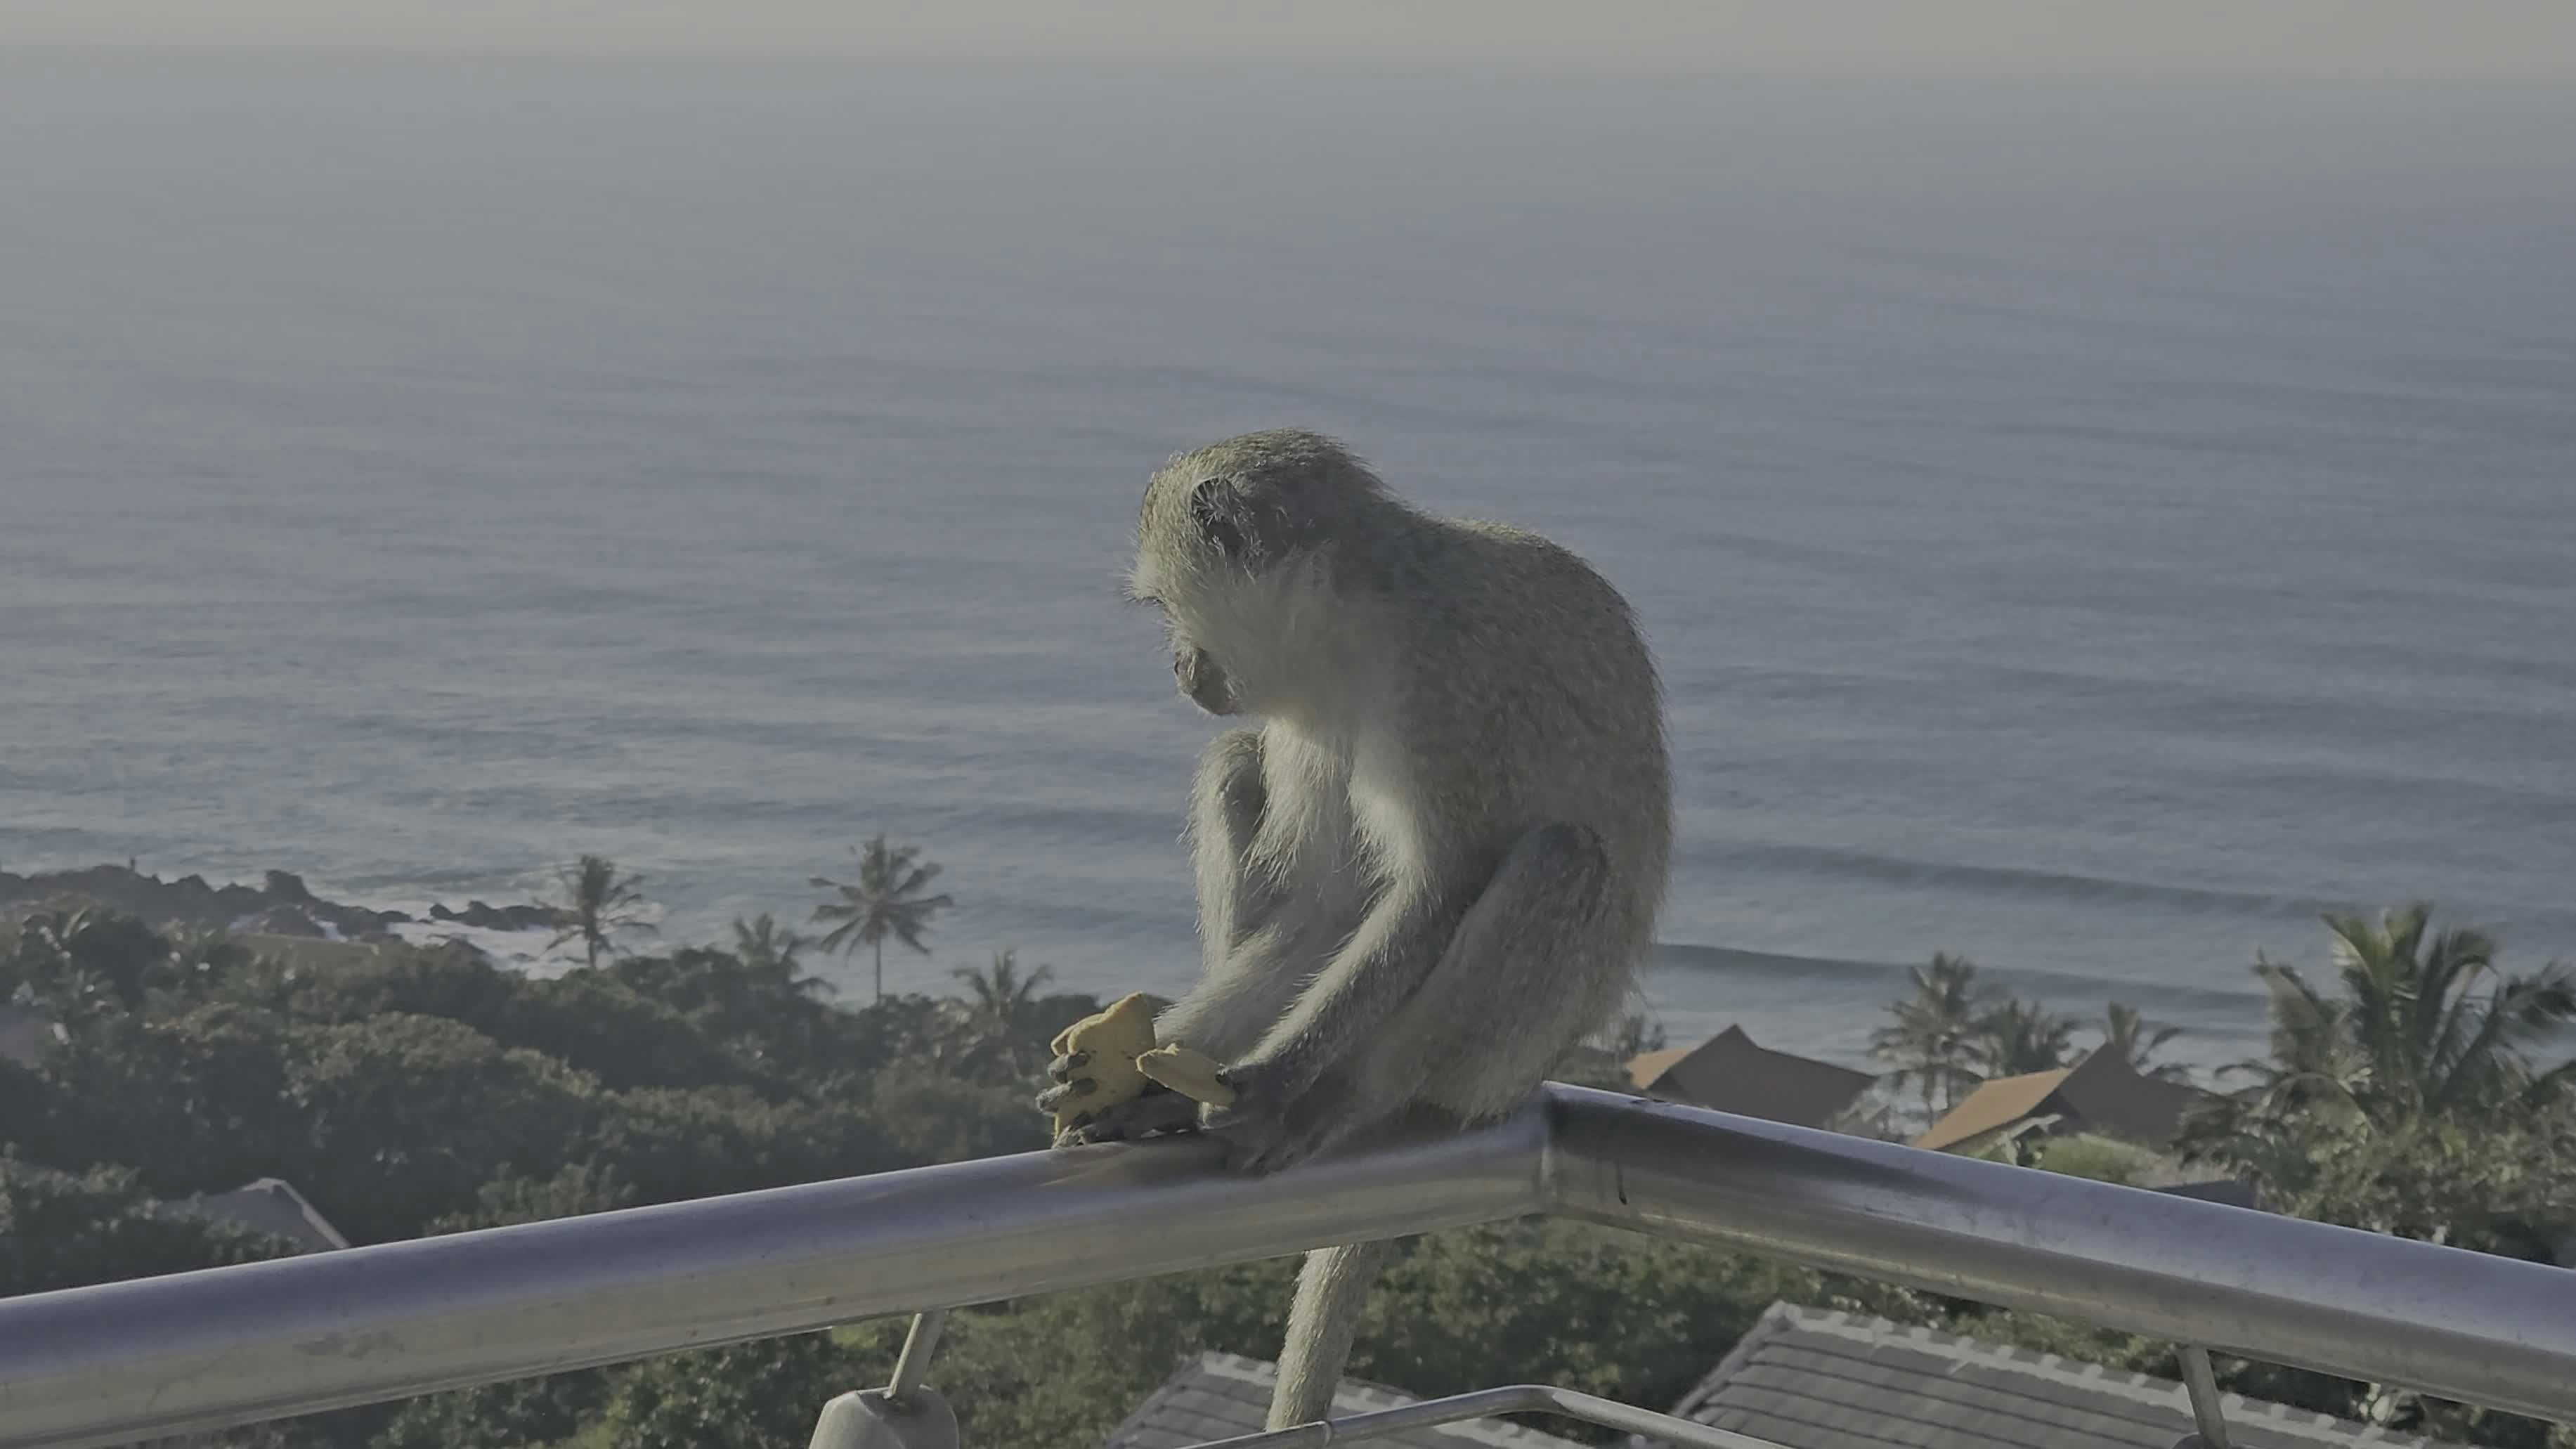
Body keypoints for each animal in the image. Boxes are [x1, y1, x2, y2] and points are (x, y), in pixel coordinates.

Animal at [1035, 428, 1673, 1431]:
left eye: (1167, 606)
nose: (1179, 666)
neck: (1363, 620)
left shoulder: (1441, 690)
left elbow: (1434, 890)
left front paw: (1269, 1082)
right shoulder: (1312, 722)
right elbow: (1329, 909)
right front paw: (1141, 1069)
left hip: (1503, 1055)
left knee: (1558, 859)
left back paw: (1350, 1096)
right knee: (1236, 757)